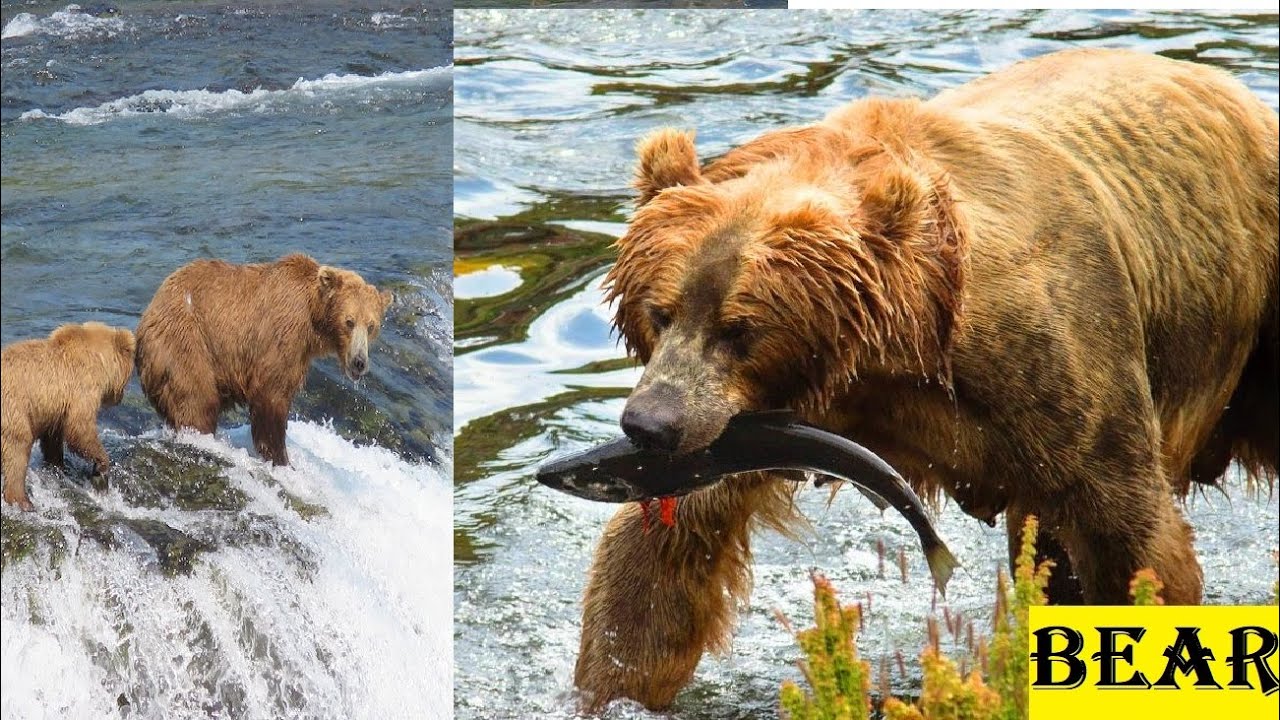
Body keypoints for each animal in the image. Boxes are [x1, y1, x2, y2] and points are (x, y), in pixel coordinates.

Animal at [1, 322, 137, 511]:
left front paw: (58, 466)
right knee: (18, 448)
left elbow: (53, 440)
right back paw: (22, 501)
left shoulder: (56, 410)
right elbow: (80, 429)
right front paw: (102, 464)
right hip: (13, 410)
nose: (120, 398)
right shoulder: (82, 387)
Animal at [134, 253, 392, 466]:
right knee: (197, 400)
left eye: (371, 326)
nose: (359, 362)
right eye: (349, 322)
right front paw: (280, 458)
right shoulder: (282, 333)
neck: (313, 319)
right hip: (186, 342)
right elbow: (271, 394)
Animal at [575, 48, 1279, 712]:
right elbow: (657, 561)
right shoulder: (757, 425)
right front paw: (615, 686)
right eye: (660, 312)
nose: (650, 424)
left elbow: (1130, 536)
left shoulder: (1050, 367)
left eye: (740, 329)